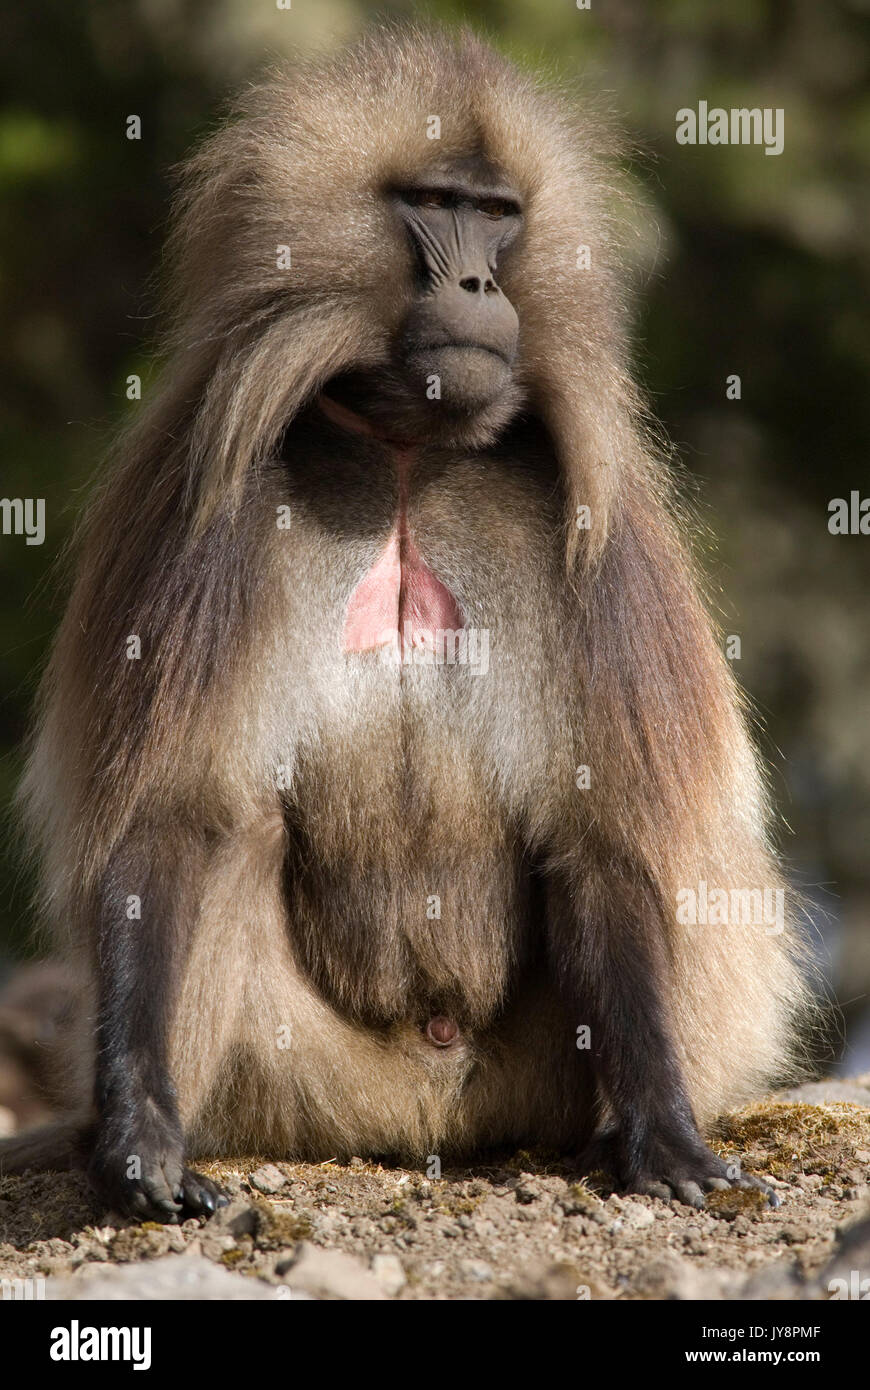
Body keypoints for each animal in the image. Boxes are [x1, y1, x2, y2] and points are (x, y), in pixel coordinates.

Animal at [0, 27, 810, 1222]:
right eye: (433, 204)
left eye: (500, 213)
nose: (477, 282)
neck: (406, 455)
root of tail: (423, 1124)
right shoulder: (201, 510)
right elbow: (171, 818)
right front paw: (139, 1137)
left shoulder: (594, 542)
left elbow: (597, 833)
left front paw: (664, 1128)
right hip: (297, 1078)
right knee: (236, 834)